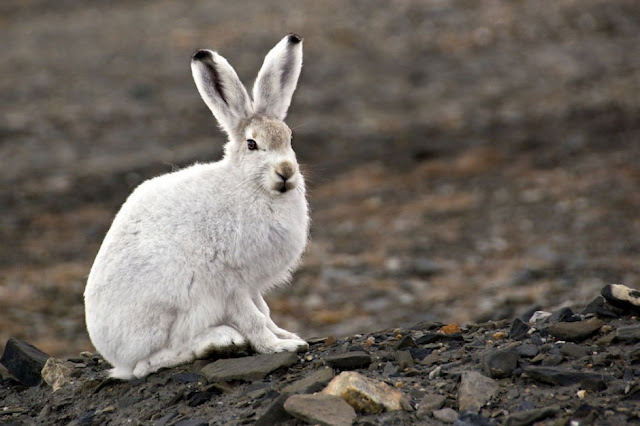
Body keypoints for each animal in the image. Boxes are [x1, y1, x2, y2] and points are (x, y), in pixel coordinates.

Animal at [84, 34, 309, 380]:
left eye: (290, 139)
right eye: (252, 144)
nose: (286, 171)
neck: (249, 185)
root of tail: (114, 355)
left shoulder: (252, 286)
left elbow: (265, 311)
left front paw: (287, 335)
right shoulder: (230, 283)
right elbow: (253, 318)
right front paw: (279, 347)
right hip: (174, 305)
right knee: (148, 364)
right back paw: (218, 341)